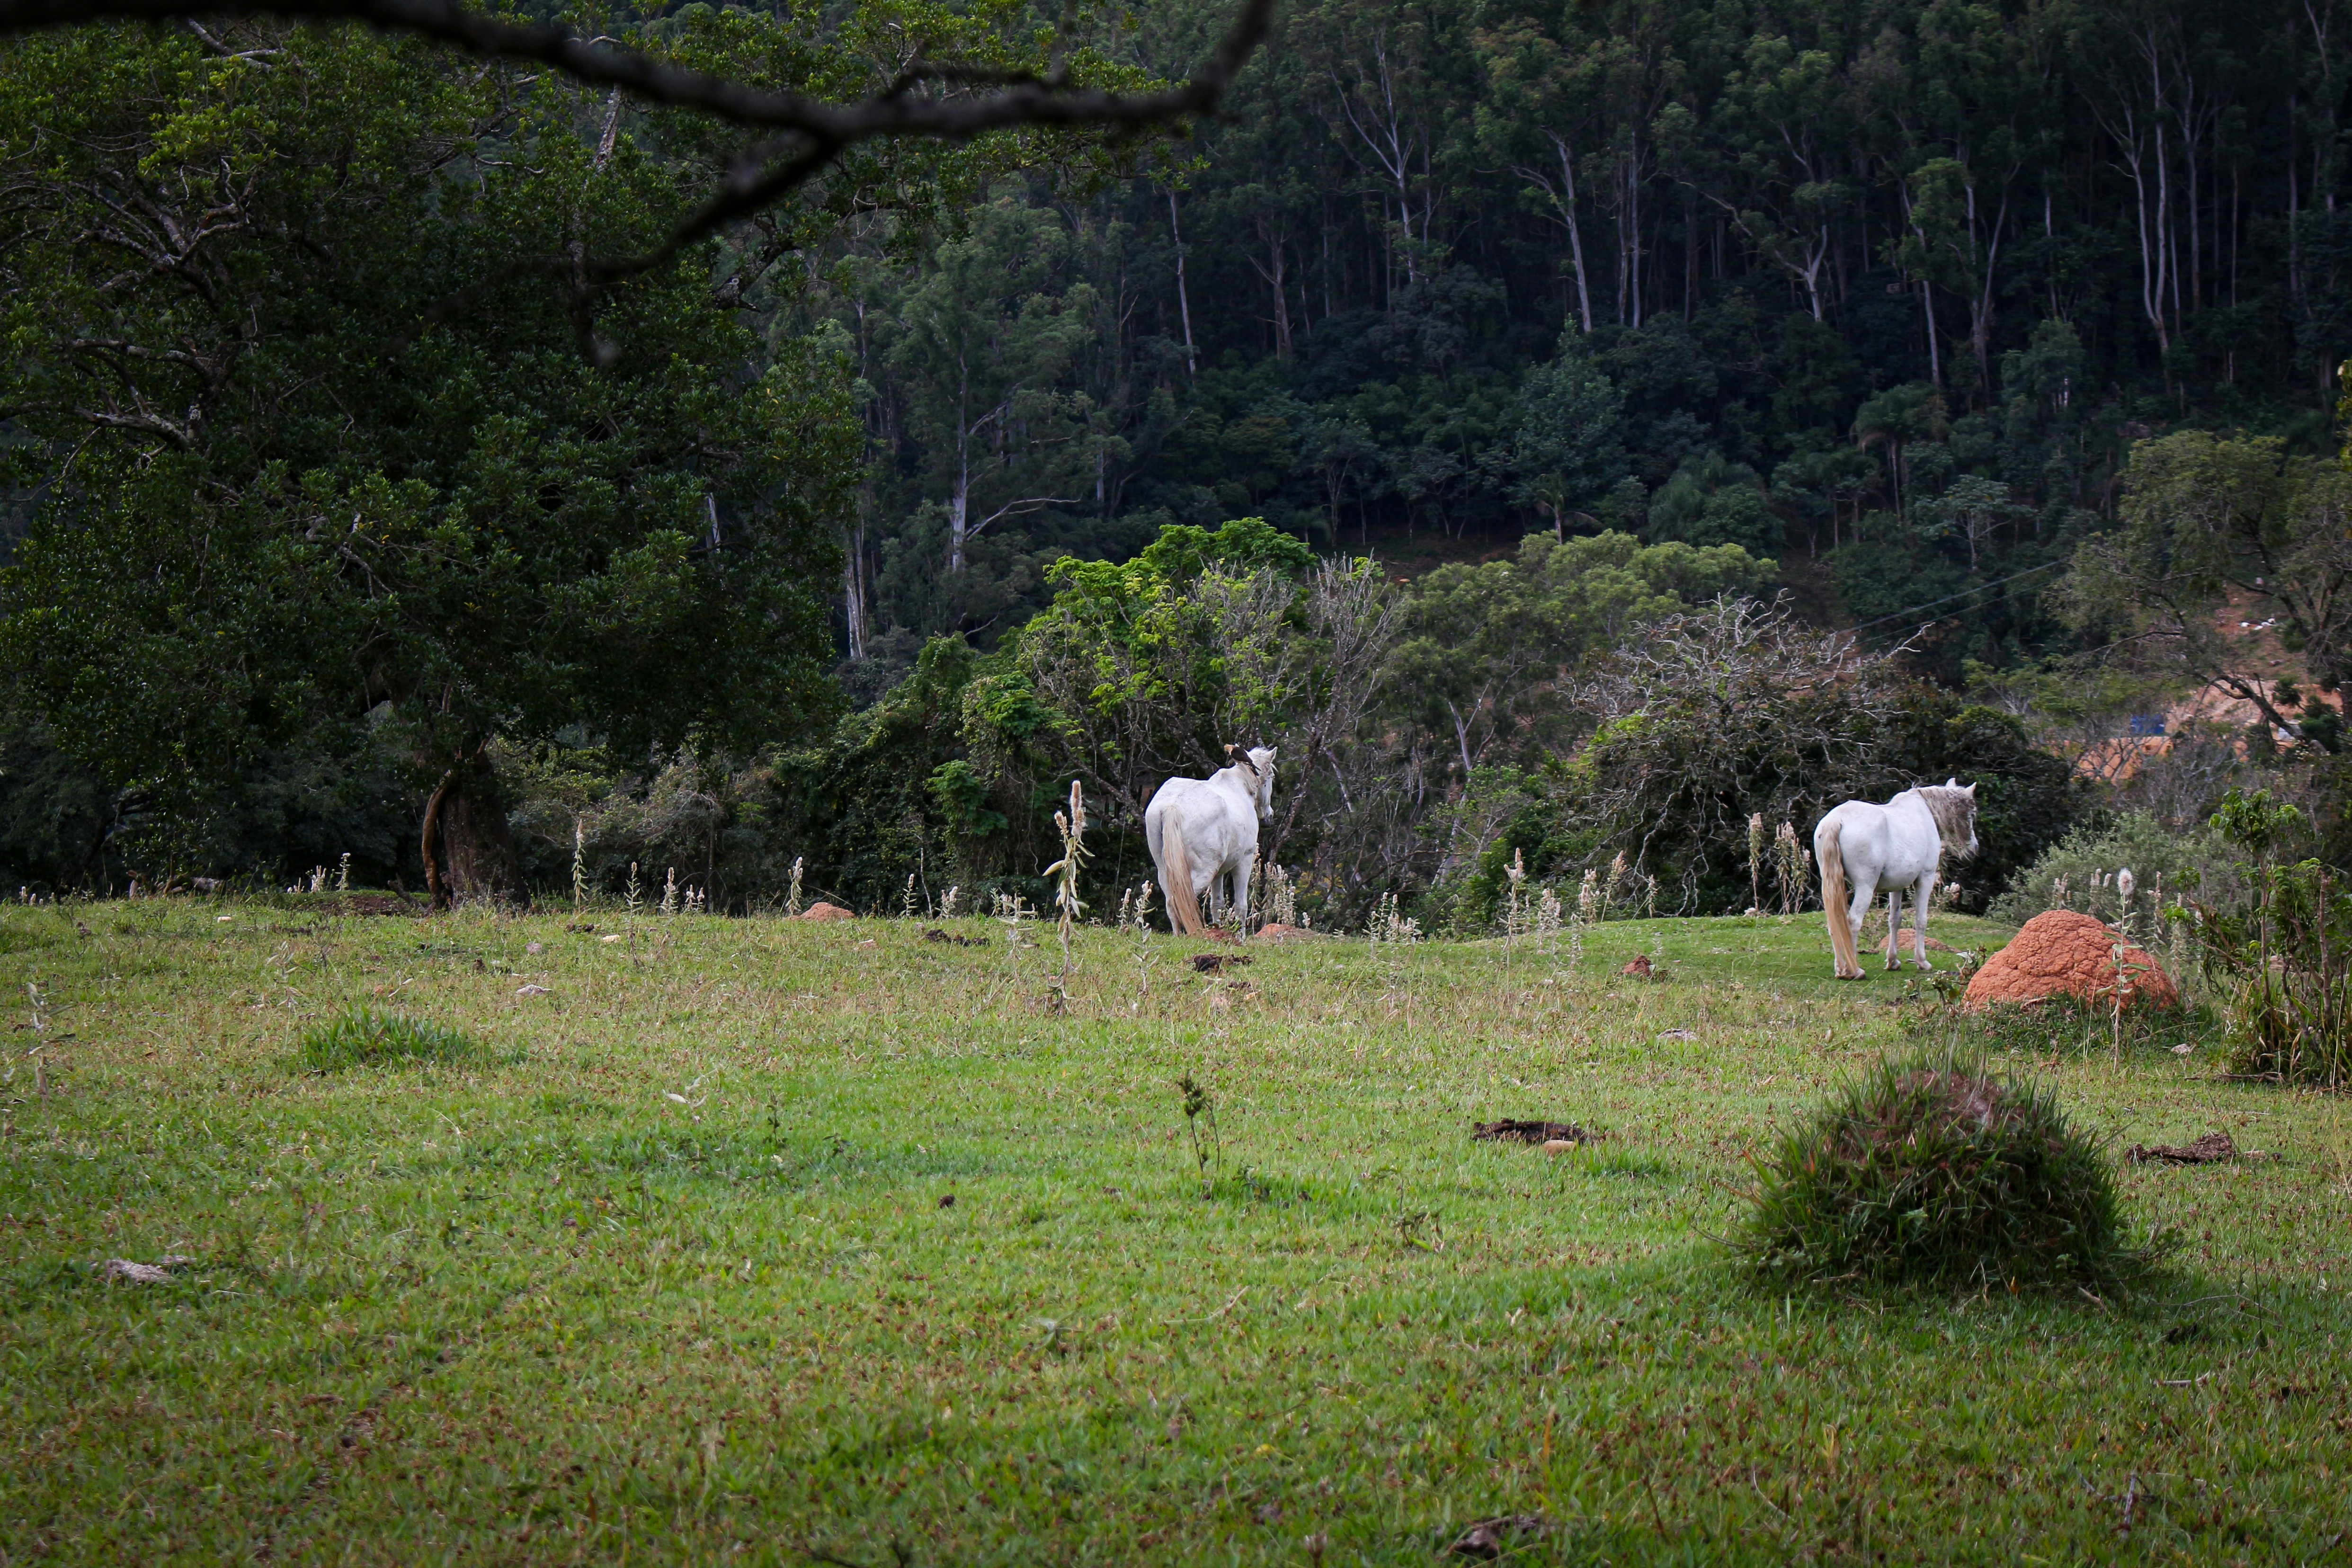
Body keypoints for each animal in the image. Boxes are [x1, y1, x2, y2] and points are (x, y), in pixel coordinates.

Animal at [1146, 745, 1277, 936]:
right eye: (1272, 777)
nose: (1269, 815)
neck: (1242, 786)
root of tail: (1173, 807)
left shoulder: (1219, 872)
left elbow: (1217, 904)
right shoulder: (1245, 860)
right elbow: (1241, 906)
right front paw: (1241, 938)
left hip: (1166, 870)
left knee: (1171, 901)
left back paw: (1178, 935)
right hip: (1203, 871)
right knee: (1183, 899)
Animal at [1813, 780, 1978, 979]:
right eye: (1972, 814)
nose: (1975, 849)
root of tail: (1837, 821)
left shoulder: (1897, 885)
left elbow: (1894, 920)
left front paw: (1893, 961)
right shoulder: (1926, 878)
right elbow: (1921, 920)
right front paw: (1922, 962)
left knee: (1836, 923)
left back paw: (1840, 969)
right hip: (1865, 887)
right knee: (1853, 922)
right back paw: (1855, 971)